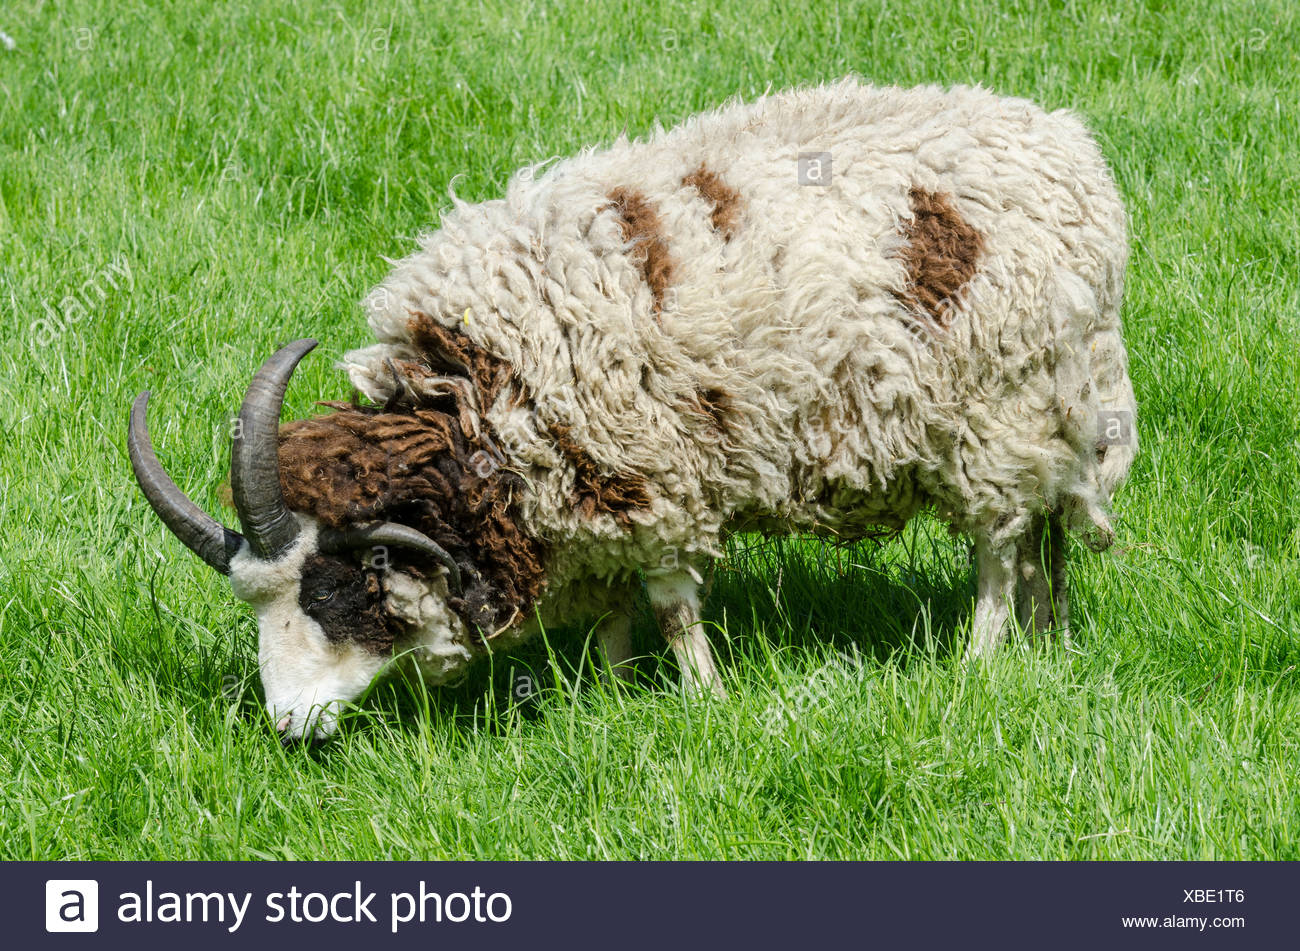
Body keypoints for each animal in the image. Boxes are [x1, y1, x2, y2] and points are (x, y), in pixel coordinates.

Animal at [129, 78, 1137, 741]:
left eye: (335, 588)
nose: (289, 726)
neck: (475, 410)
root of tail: (1069, 152)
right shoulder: (589, 488)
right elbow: (617, 610)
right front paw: (611, 693)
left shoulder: (650, 477)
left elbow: (672, 606)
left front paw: (704, 701)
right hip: (1043, 415)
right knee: (1038, 538)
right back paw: (1043, 637)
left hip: (998, 415)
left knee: (998, 551)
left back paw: (980, 659)